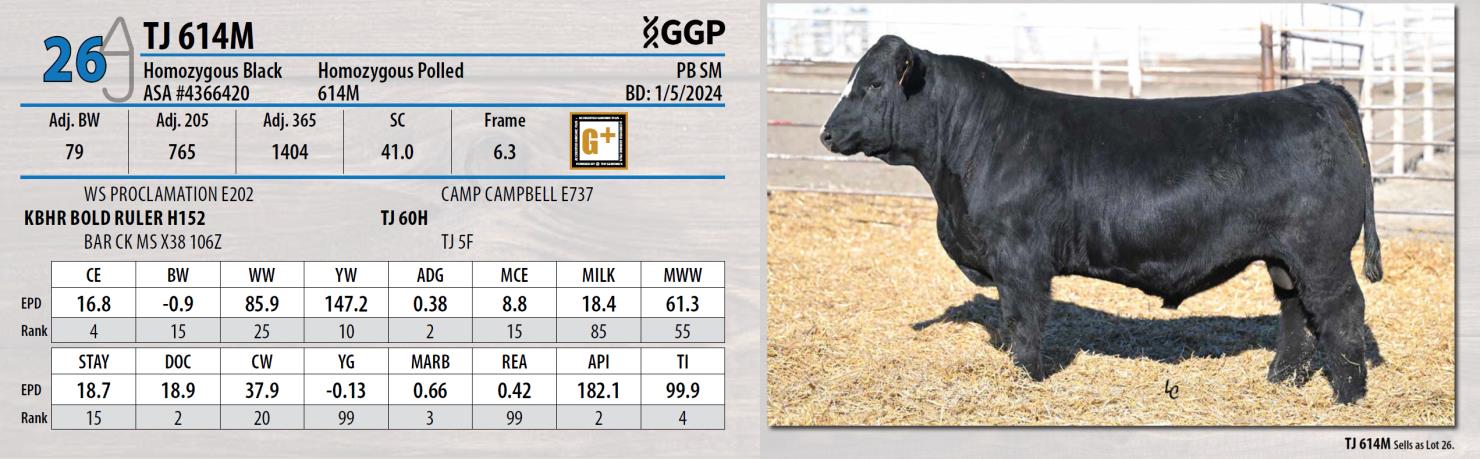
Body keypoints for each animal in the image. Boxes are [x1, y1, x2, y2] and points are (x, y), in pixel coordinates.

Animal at [819, 35, 1383, 404]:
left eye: (872, 83)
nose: (825, 133)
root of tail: (1316, 92)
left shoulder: (1019, 258)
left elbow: (1023, 319)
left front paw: (1025, 377)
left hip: (1320, 252)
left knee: (1341, 310)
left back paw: (1348, 394)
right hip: (1284, 257)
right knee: (1296, 312)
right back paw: (1282, 379)